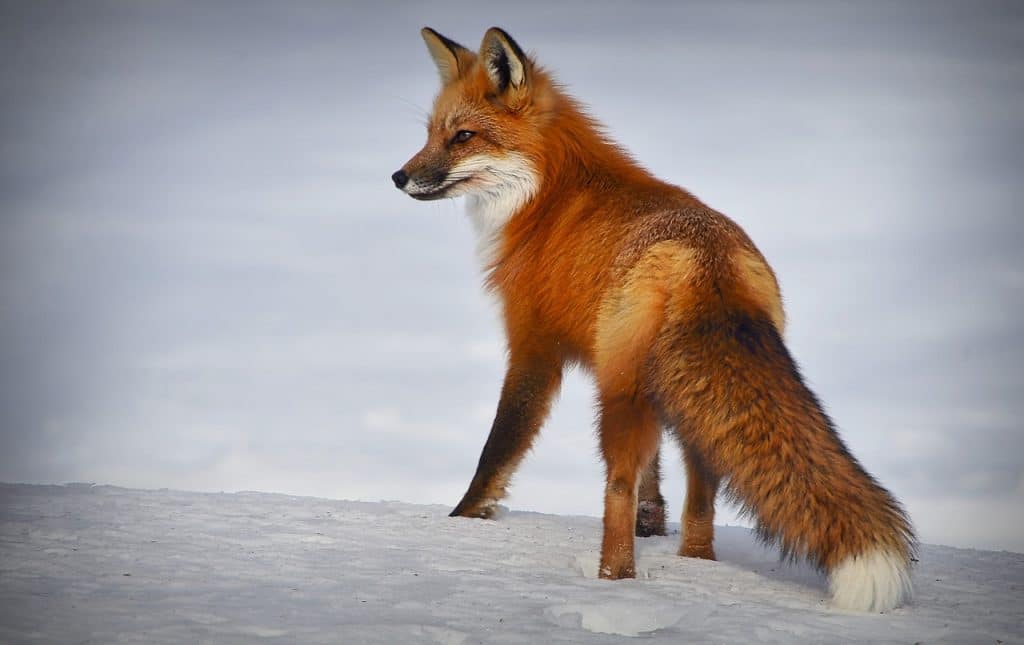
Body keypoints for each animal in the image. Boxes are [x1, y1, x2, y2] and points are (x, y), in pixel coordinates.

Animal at [392, 26, 916, 612]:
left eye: (463, 136)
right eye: (431, 134)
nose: (398, 176)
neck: (546, 198)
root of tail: (707, 259)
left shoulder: (534, 345)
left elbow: (500, 447)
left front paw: (463, 517)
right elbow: (655, 479)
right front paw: (654, 523)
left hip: (620, 394)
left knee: (616, 487)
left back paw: (613, 580)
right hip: (679, 396)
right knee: (702, 494)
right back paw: (695, 563)